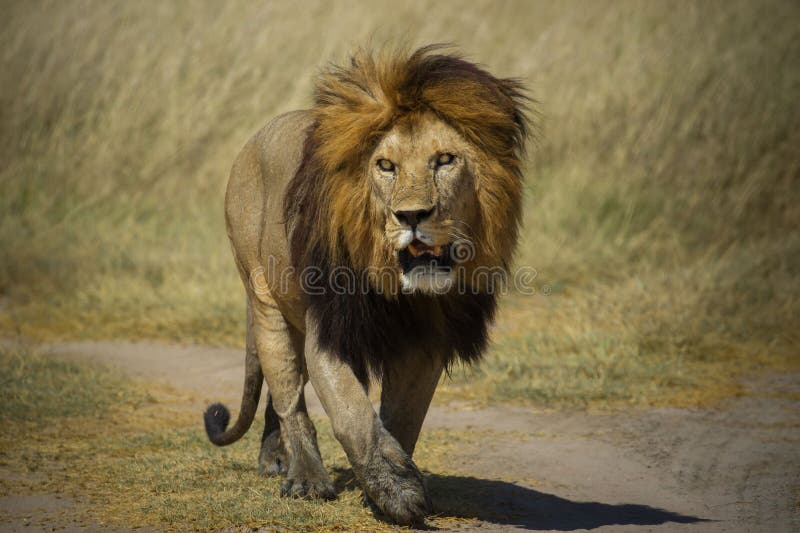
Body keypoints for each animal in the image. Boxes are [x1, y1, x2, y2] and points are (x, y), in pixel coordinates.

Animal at [203, 45, 530, 525]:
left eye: (445, 160)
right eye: (385, 166)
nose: (411, 216)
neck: (399, 289)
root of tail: (255, 138)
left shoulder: (425, 342)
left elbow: (403, 418)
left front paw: (390, 479)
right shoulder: (327, 331)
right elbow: (352, 414)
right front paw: (396, 491)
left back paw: (275, 459)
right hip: (265, 301)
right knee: (288, 396)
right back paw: (305, 477)